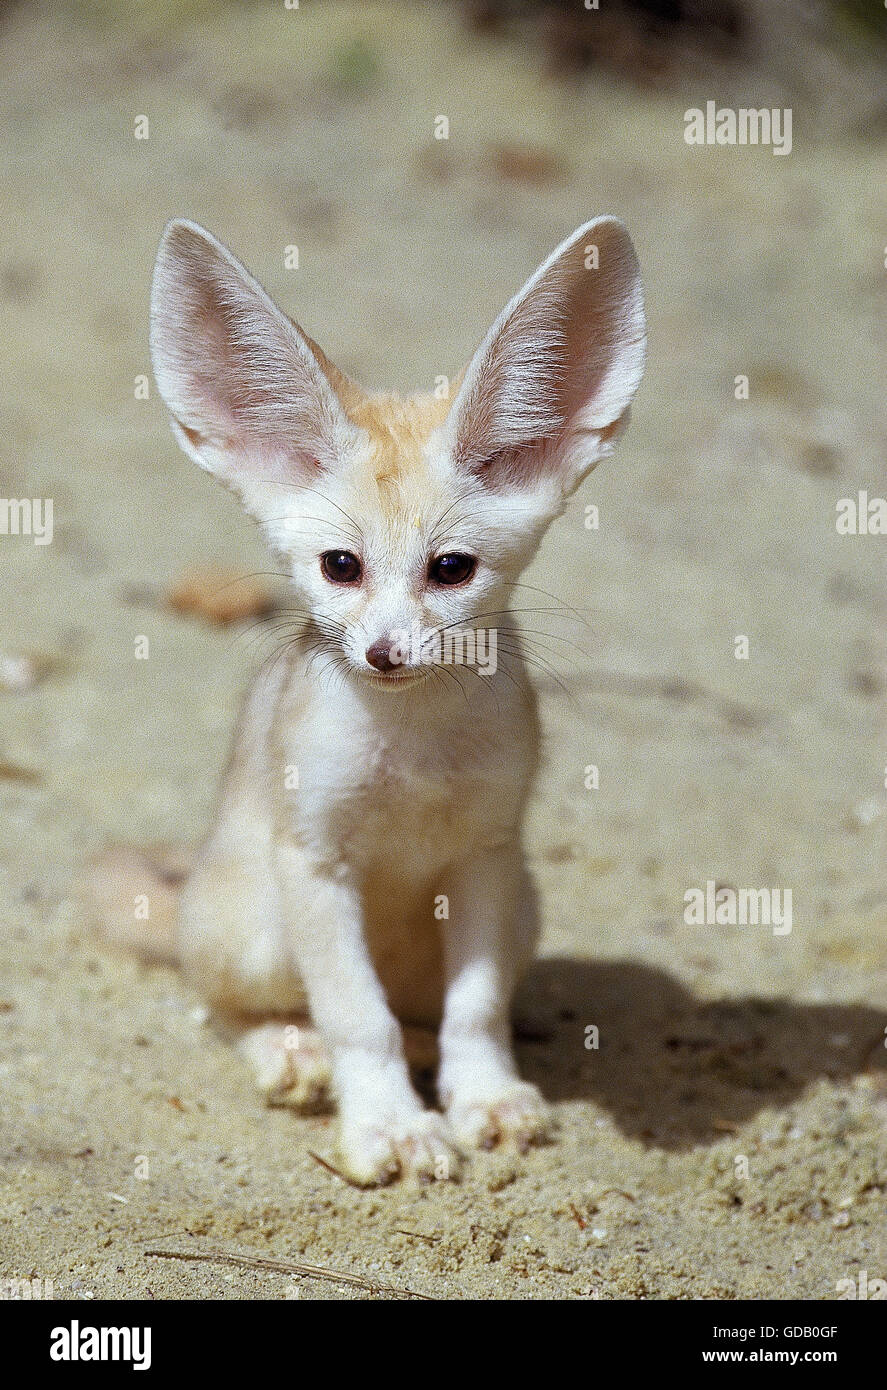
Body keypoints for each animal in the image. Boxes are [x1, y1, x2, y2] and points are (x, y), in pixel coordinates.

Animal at [87, 216, 645, 1186]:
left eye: (450, 569)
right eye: (339, 567)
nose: (386, 654)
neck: (411, 746)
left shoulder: (487, 857)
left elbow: (475, 1010)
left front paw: (484, 1097)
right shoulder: (316, 861)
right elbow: (356, 1017)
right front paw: (388, 1124)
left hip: (521, 912)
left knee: (426, 1013)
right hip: (258, 928)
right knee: (228, 1006)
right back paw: (289, 1050)